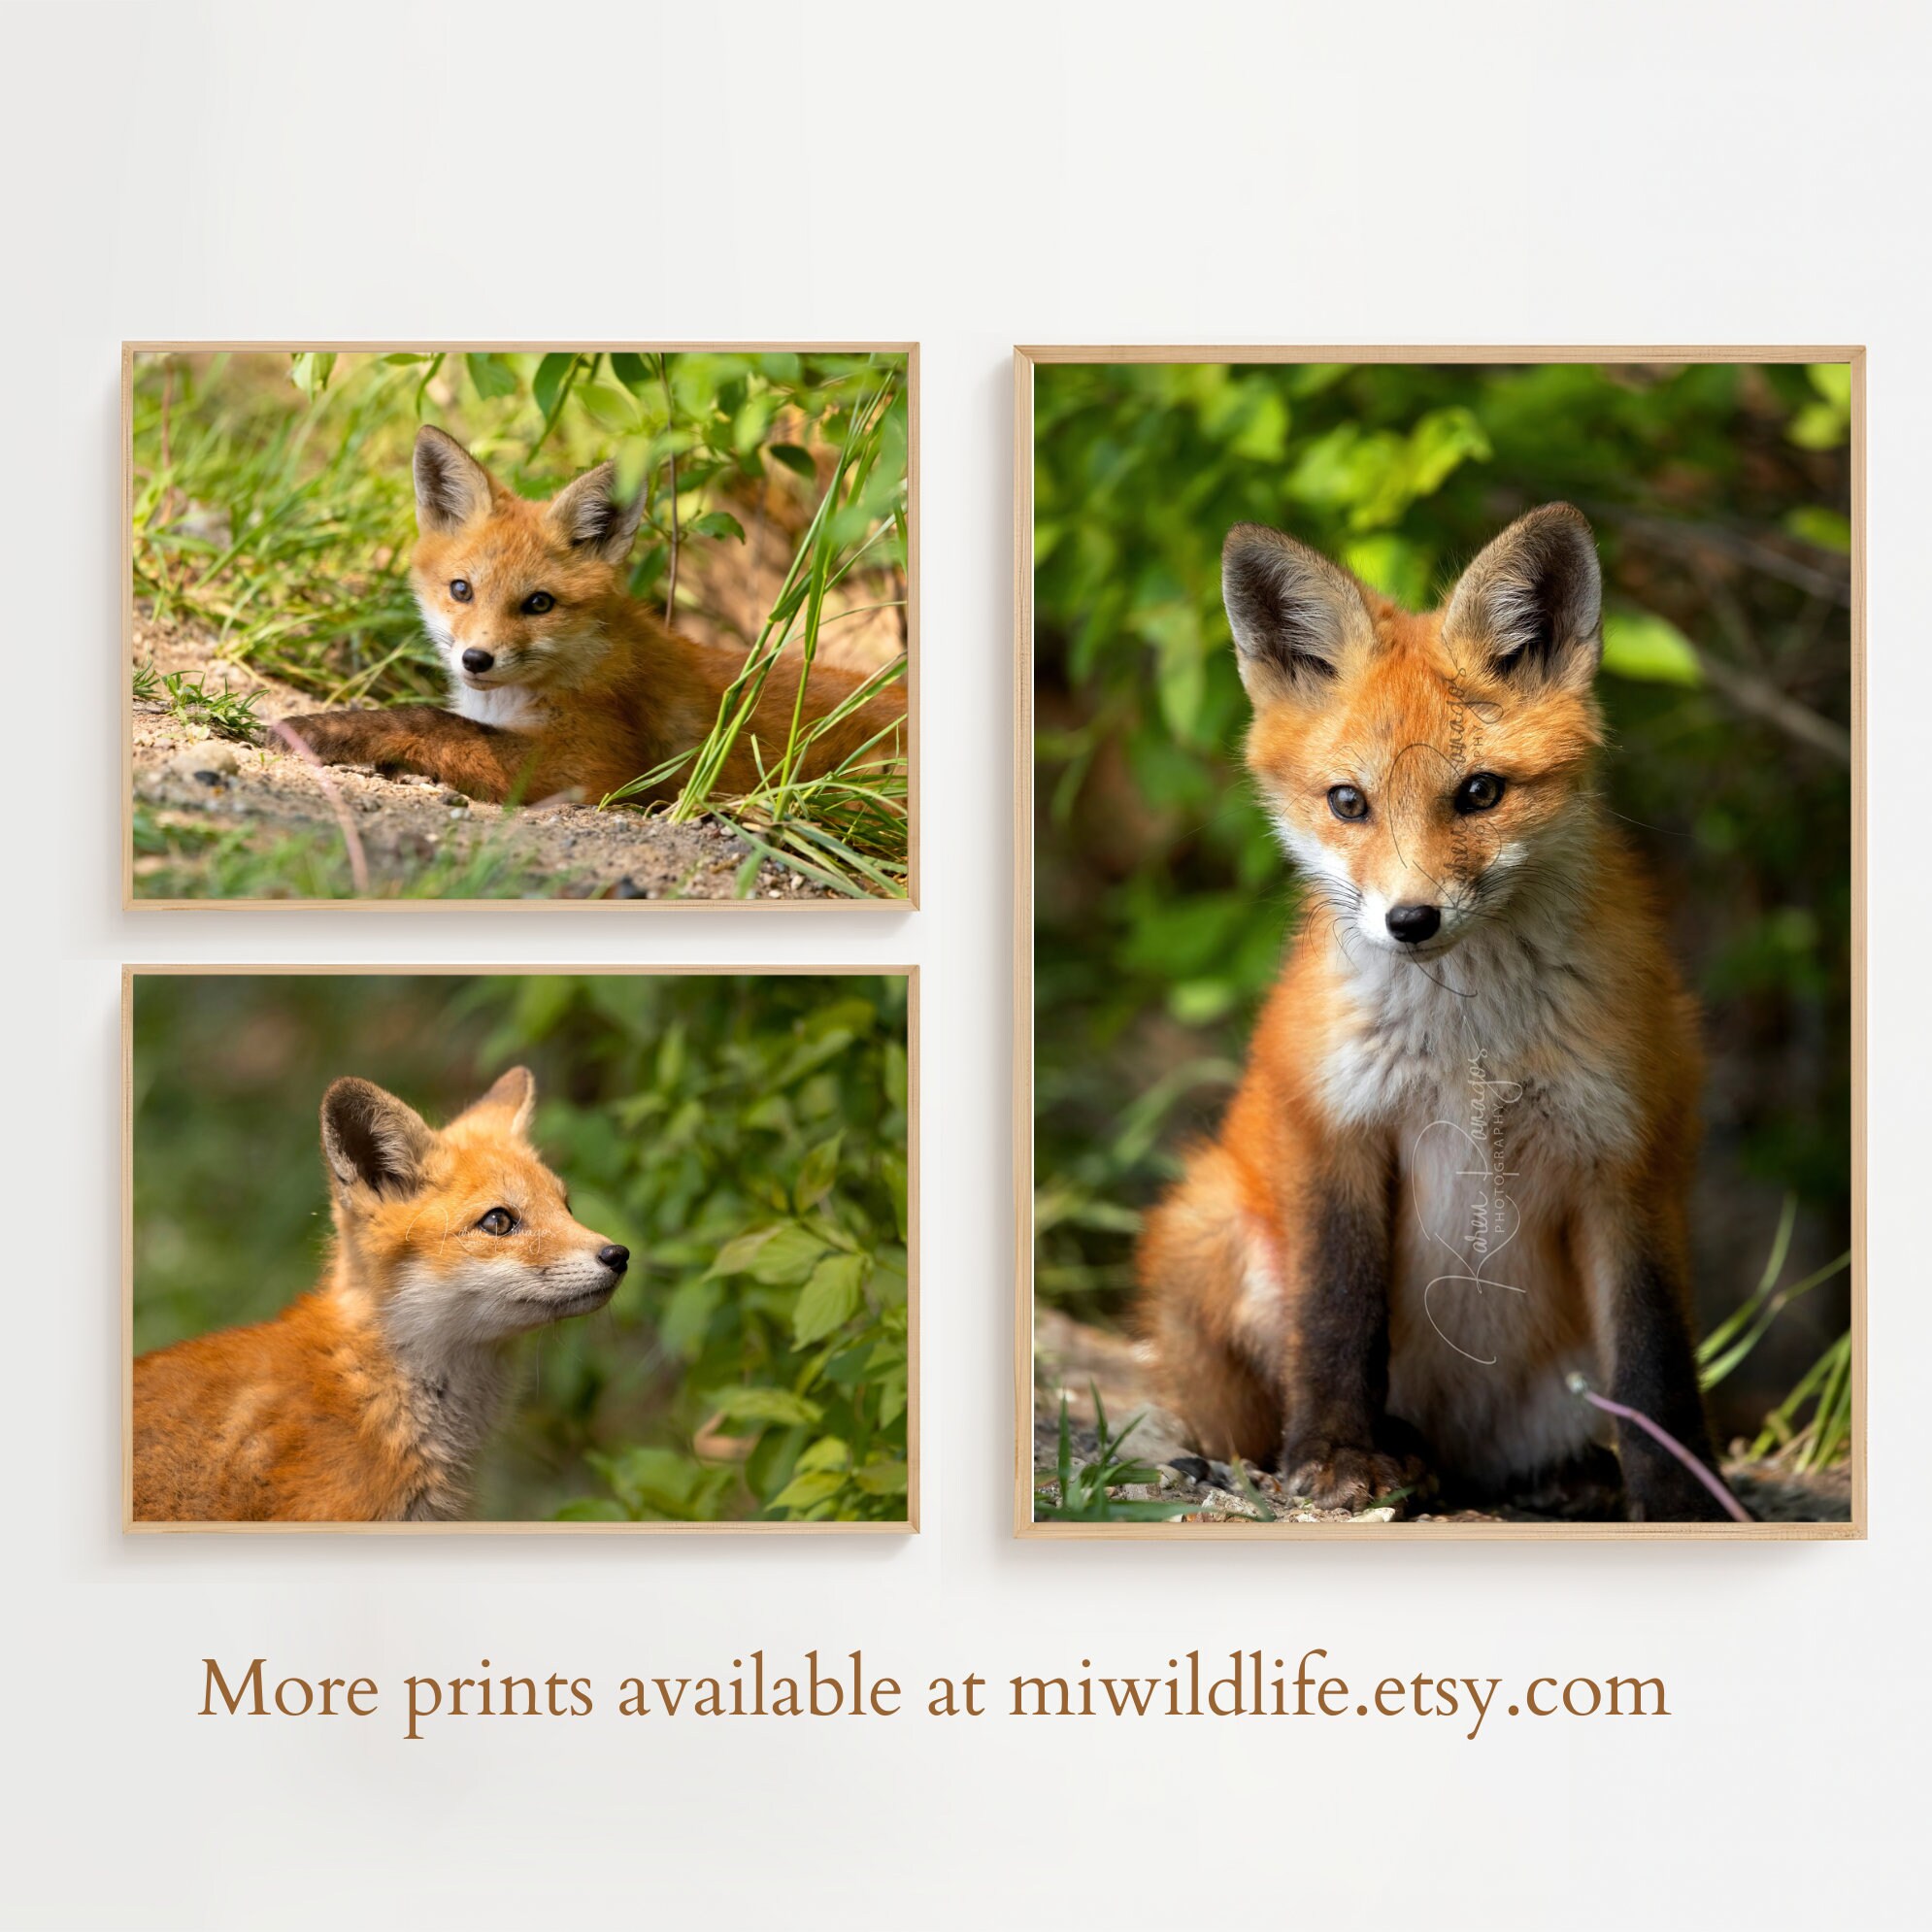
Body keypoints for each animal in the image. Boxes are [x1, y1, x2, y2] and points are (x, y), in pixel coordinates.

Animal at [280, 425, 905, 804]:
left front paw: (325, 731)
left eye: (539, 603)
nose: (476, 659)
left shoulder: (593, 766)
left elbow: (434, 722)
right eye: (461, 590)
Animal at [1135, 504, 1736, 1522]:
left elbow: (1656, 1365)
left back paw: (1561, 1476)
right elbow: (1339, 1318)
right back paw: (1348, 1457)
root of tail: (1466, 1452)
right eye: (1349, 802)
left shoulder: (1629, 1157)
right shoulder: (1337, 1128)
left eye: (1480, 793)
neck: (1469, 1043)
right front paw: (1340, 1456)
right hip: (1210, 1227)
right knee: (1253, 1419)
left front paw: (1680, 1502)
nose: (1410, 920)